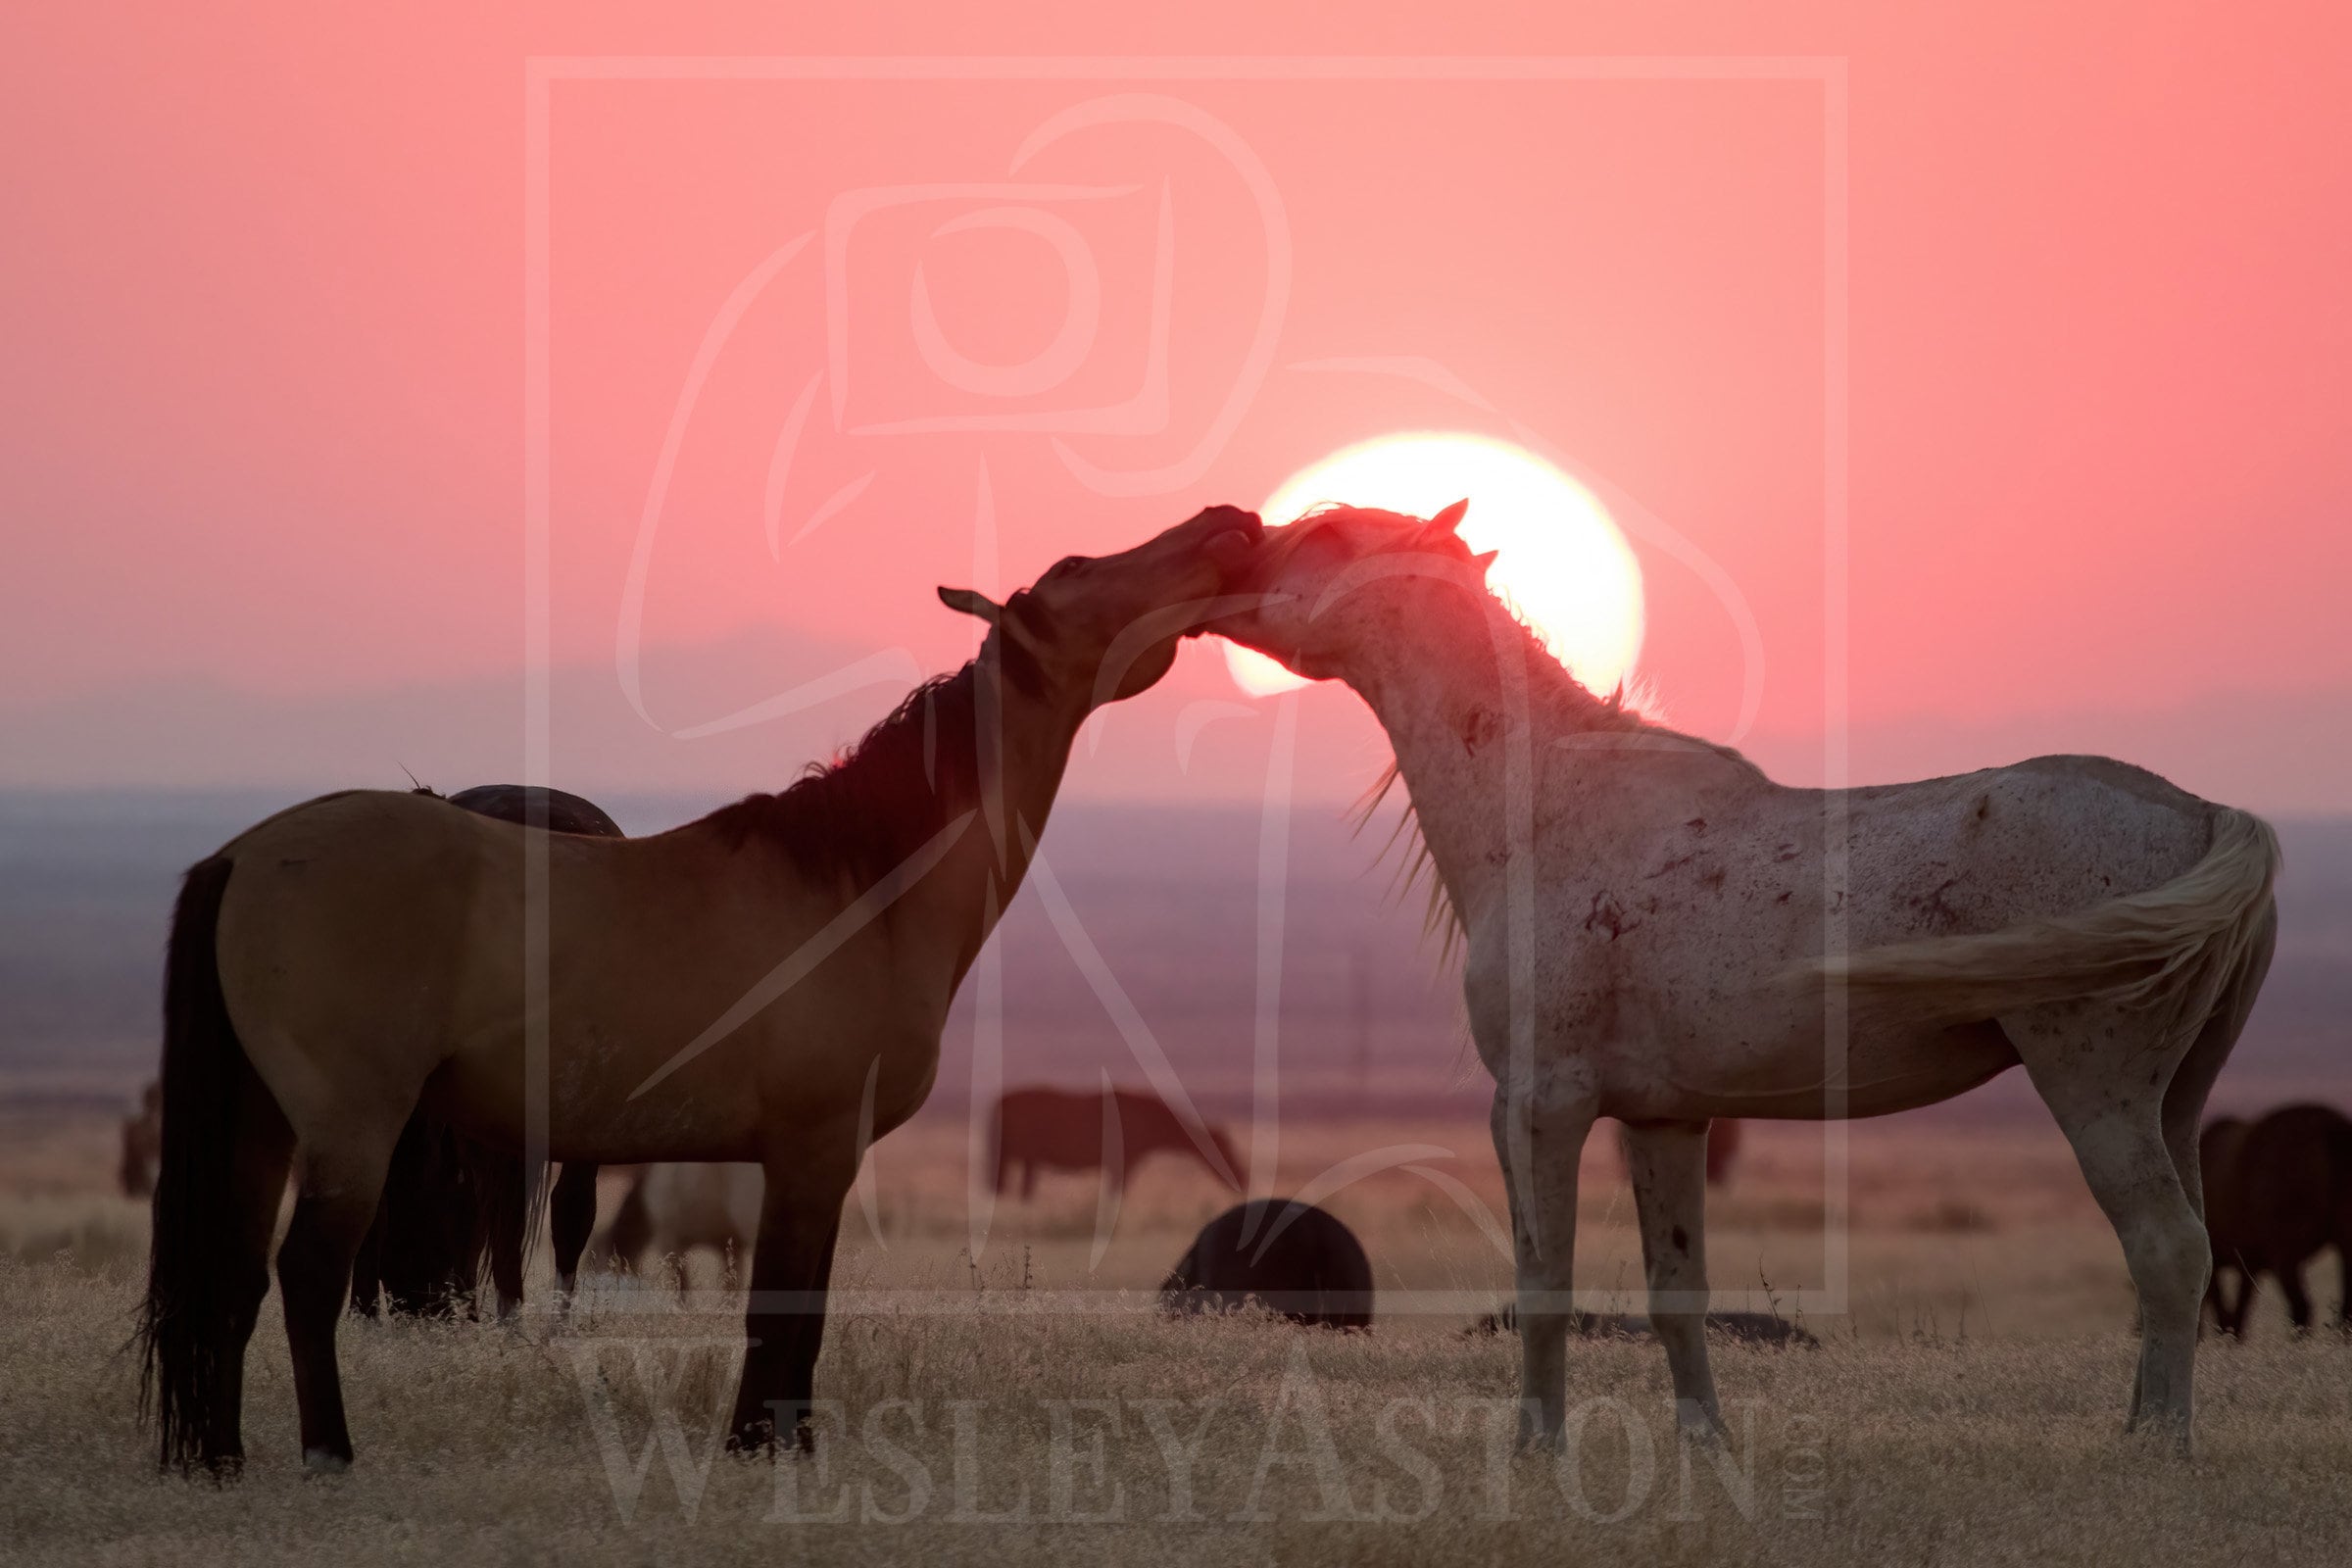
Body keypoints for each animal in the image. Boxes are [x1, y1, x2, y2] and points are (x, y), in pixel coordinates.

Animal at [989, 1084, 1243, 1202]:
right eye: (1226, 1149)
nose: (1243, 1177)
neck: (1146, 1117)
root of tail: (999, 1102)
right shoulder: (1122, 1164)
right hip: (1011, 1157)